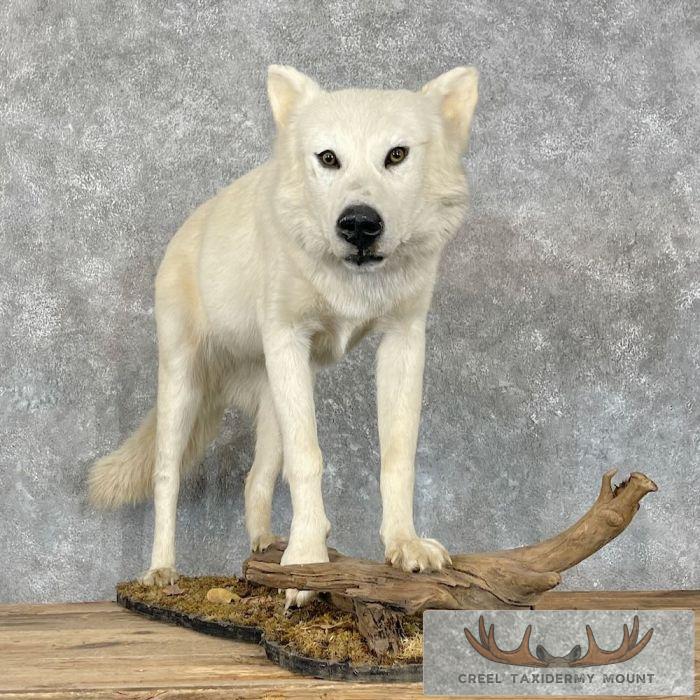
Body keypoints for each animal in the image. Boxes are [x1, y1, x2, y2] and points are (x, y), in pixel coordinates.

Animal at [88, 65, 479, 607]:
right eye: (329, 158)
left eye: (396, 155)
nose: (359, 224)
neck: (350, 283)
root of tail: (187, 226)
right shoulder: (288, 340)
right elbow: (308, 459)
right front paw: (306, 565)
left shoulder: (403, 342)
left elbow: (397, 456)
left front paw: (404, 546)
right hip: (183, 389)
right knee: (167, 477)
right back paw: (162, 571)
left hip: (275, 396)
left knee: (255, 479)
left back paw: (264, 550)